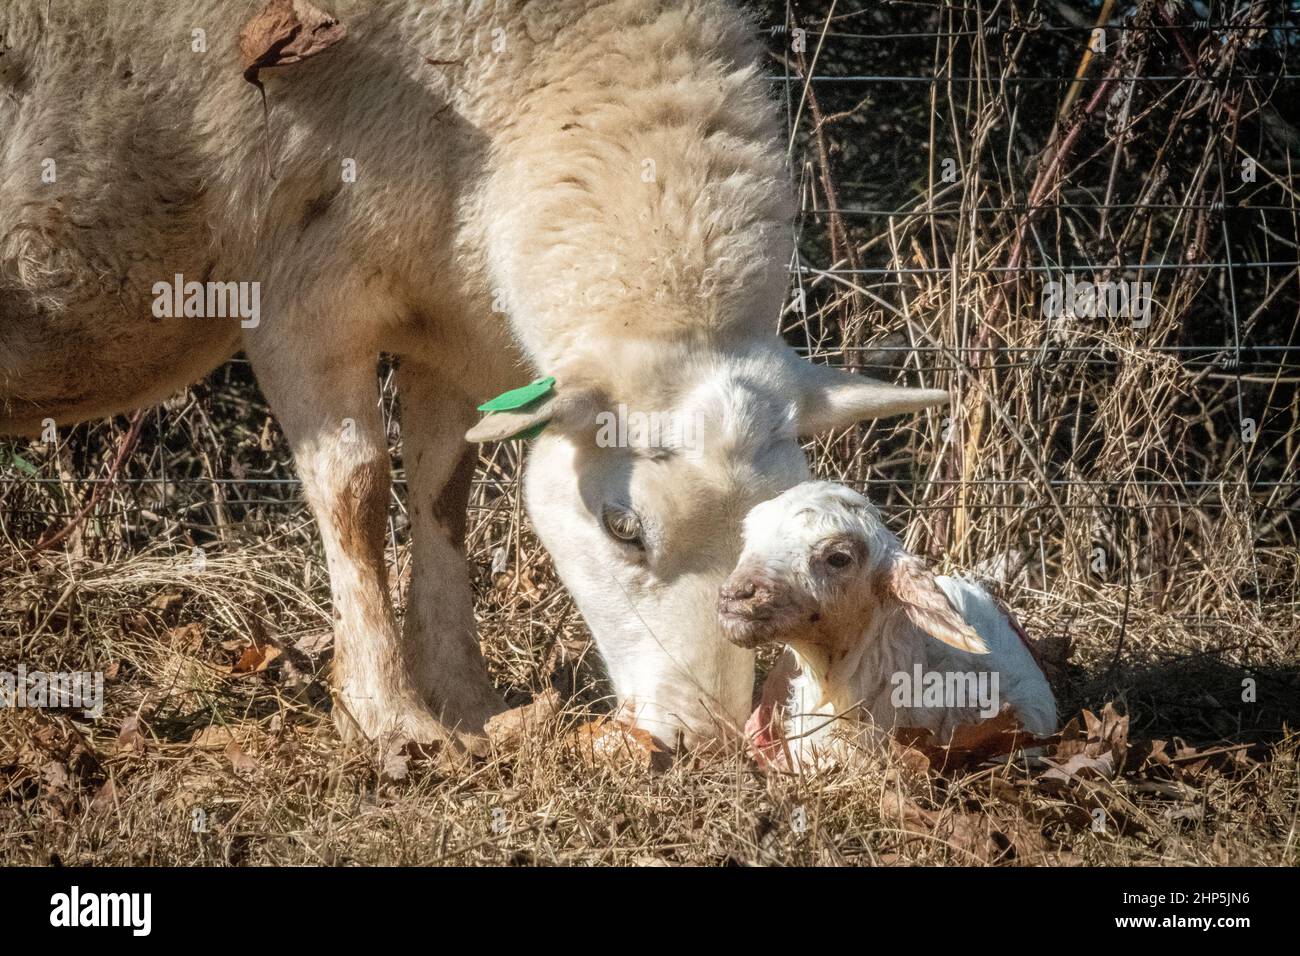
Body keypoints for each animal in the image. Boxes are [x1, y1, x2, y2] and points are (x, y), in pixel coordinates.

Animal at [0, 0, 951, 752]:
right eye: (623, 528)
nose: (700, 737)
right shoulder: (300, 295)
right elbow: (357, 491)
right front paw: (389, 718)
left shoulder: (443, 317)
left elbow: (443, 493)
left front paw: (469, 704)